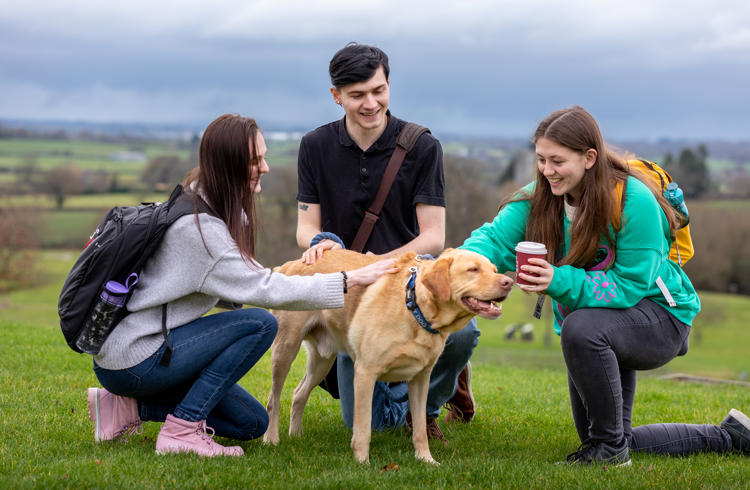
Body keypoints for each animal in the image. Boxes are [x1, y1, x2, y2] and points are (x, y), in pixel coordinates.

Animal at [262, 247, 516, 466]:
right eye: (473, 269)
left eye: (494, 269)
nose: (508, 282)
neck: (415, 309)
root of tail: (290, 263)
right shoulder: (365, 373)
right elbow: (363, 428)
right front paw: (362, 463)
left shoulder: (420, 379)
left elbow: (420, 428)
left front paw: (426, 459)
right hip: (286, 348)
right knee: (274, 398)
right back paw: (271, 439)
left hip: (322, 361)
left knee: (298, 394)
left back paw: (296, 435)